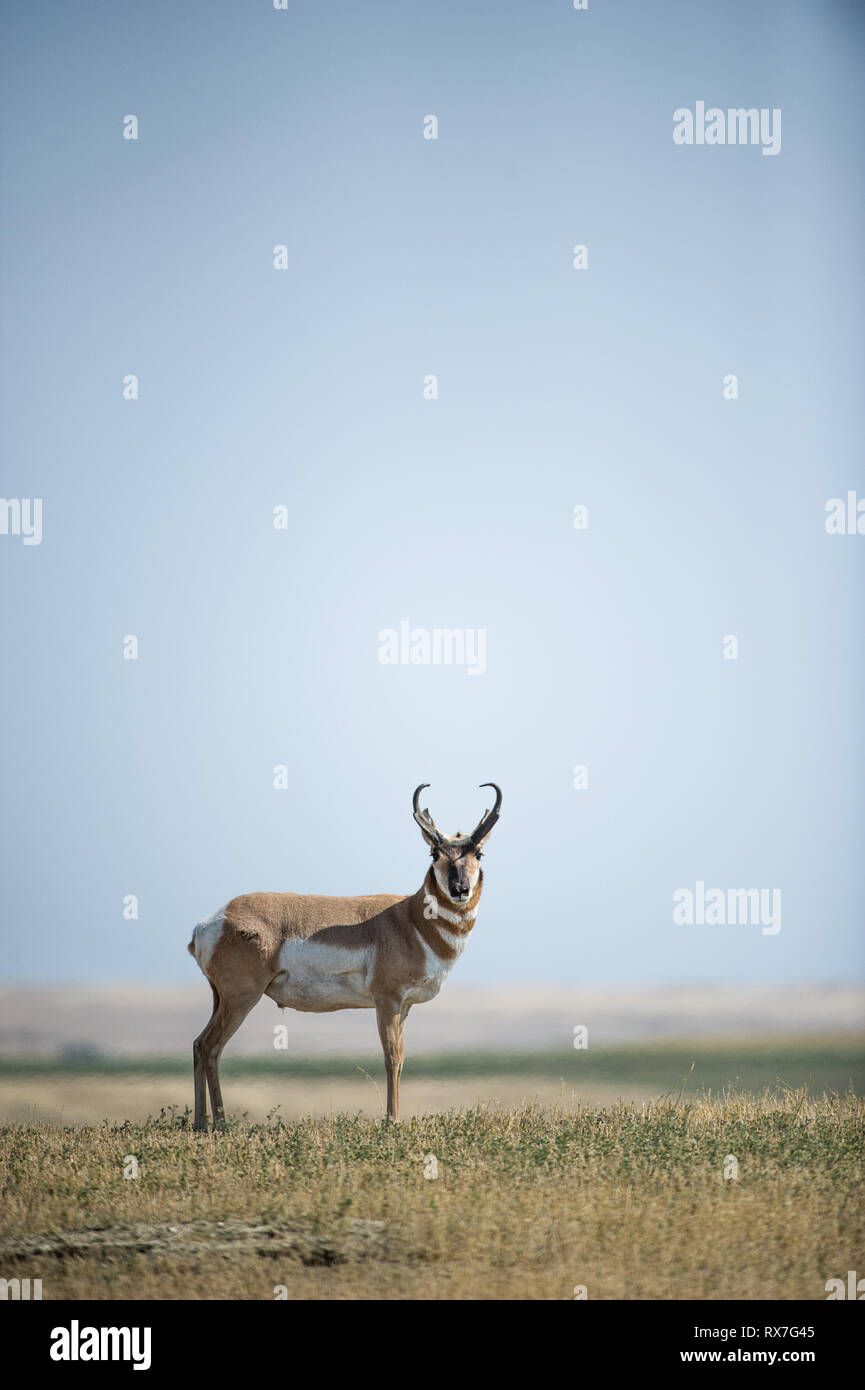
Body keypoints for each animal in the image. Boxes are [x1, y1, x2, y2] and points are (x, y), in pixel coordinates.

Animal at [188, 782, 502, 1129]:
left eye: (478, 853)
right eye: (435, 853)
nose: (460, 889)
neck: (411, 918)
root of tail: (213, 921)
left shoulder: (404, 1006)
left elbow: (402, 1059)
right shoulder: (387, 1001)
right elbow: (391, 1057)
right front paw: (391, 1121)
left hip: (222, 998)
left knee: (199, 1045)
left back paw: (202, 1123)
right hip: (241, 997)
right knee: (210, 1046)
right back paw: (219, 1123)